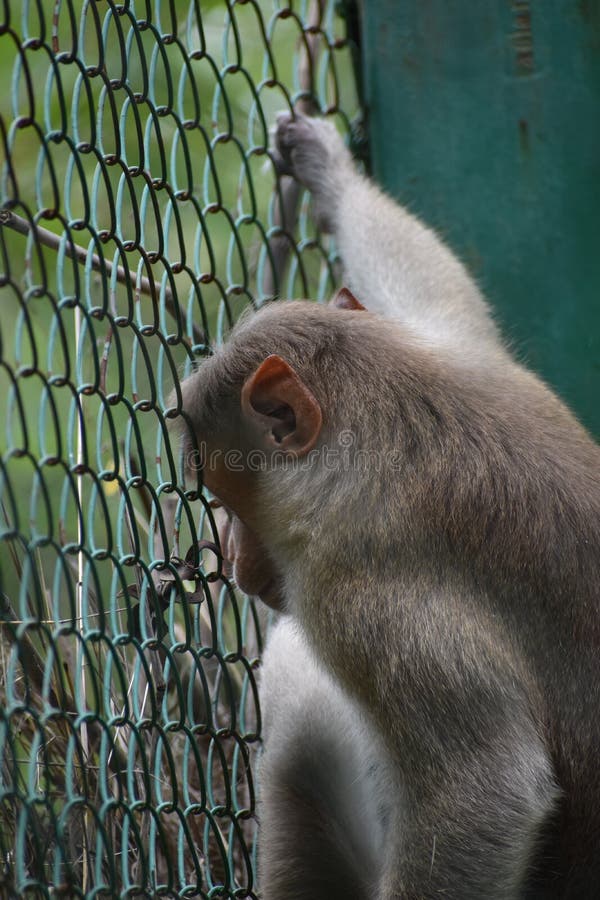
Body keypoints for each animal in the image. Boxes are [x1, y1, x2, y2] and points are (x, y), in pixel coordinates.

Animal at [175, 113, 600, 899]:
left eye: (223, 488)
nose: (234, 555)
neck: (388, 418)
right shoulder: (460, 355)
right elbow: (448, 304)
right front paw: (328, 169)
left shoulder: (361, 591)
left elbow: (487, 790)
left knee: (299, 685)